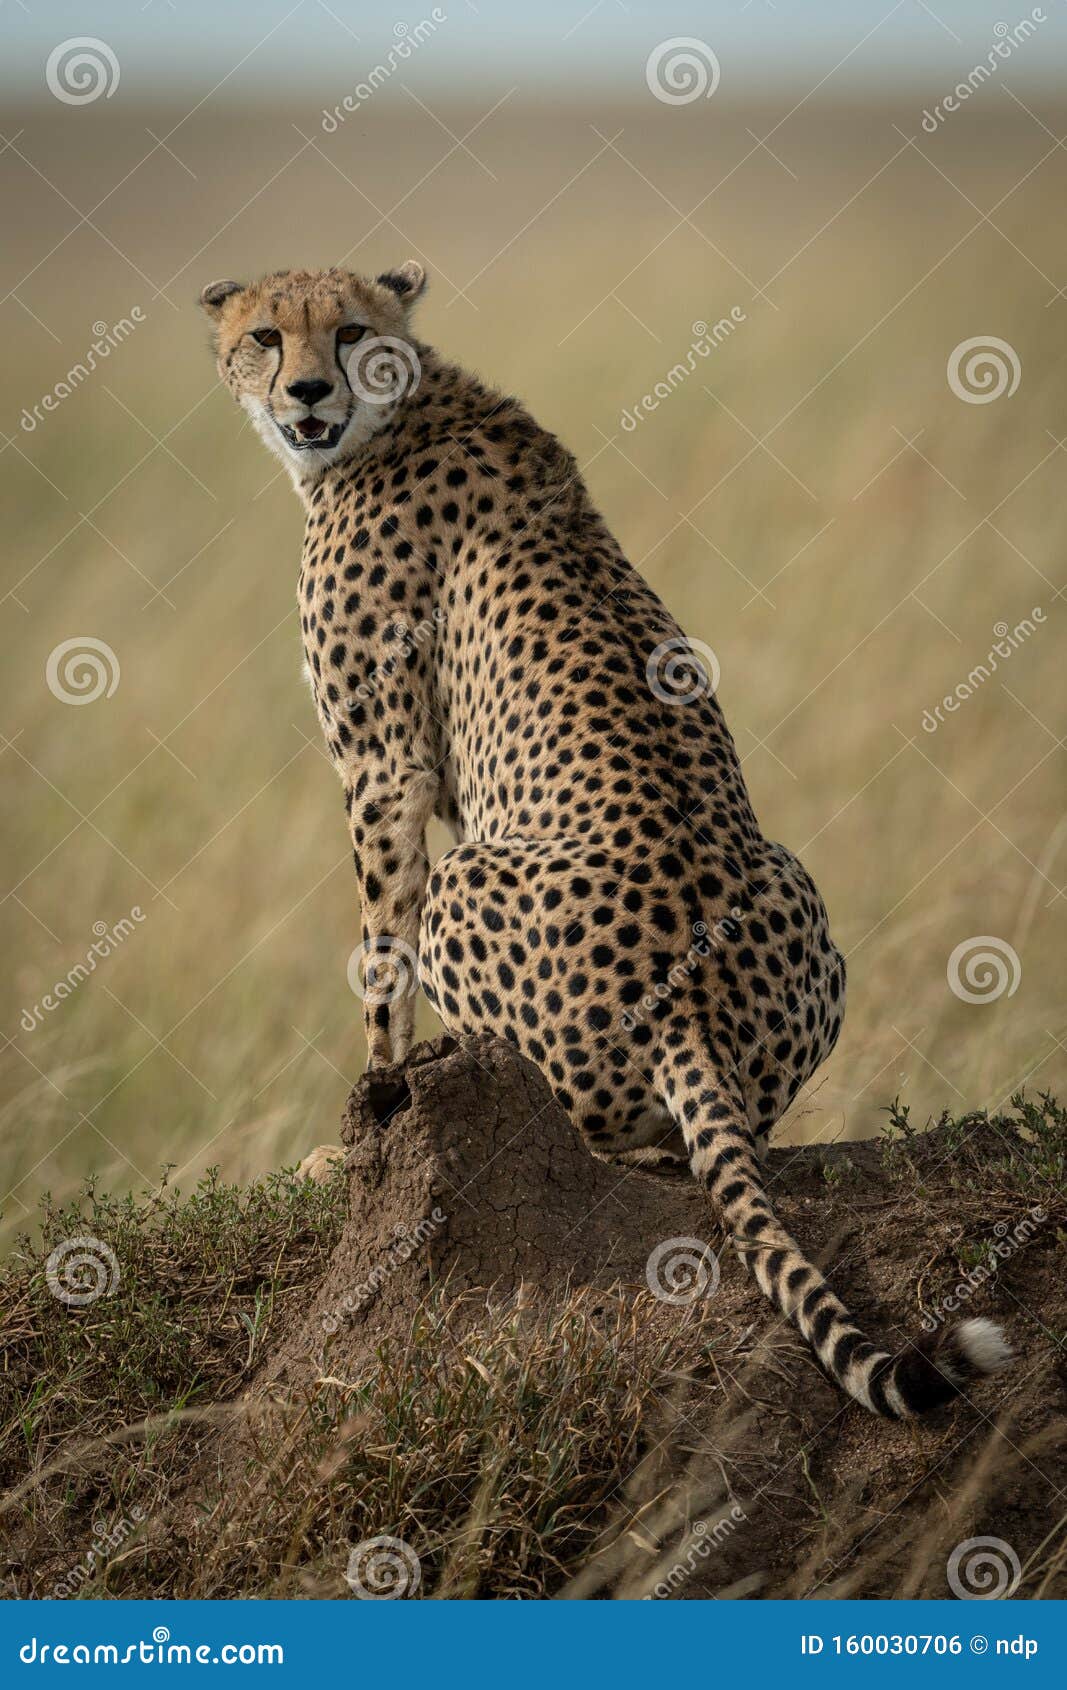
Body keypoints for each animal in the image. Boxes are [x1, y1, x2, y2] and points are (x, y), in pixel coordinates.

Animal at [200, 262, 1012, 1417]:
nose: (308, 392)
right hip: (793, 887)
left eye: (349, 333)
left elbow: (376, 959)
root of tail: (687, 998)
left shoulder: (384, 768)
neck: (403, 410)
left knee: (590, 1128)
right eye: (267, 335)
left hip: (470, 878)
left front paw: (360, 1125)